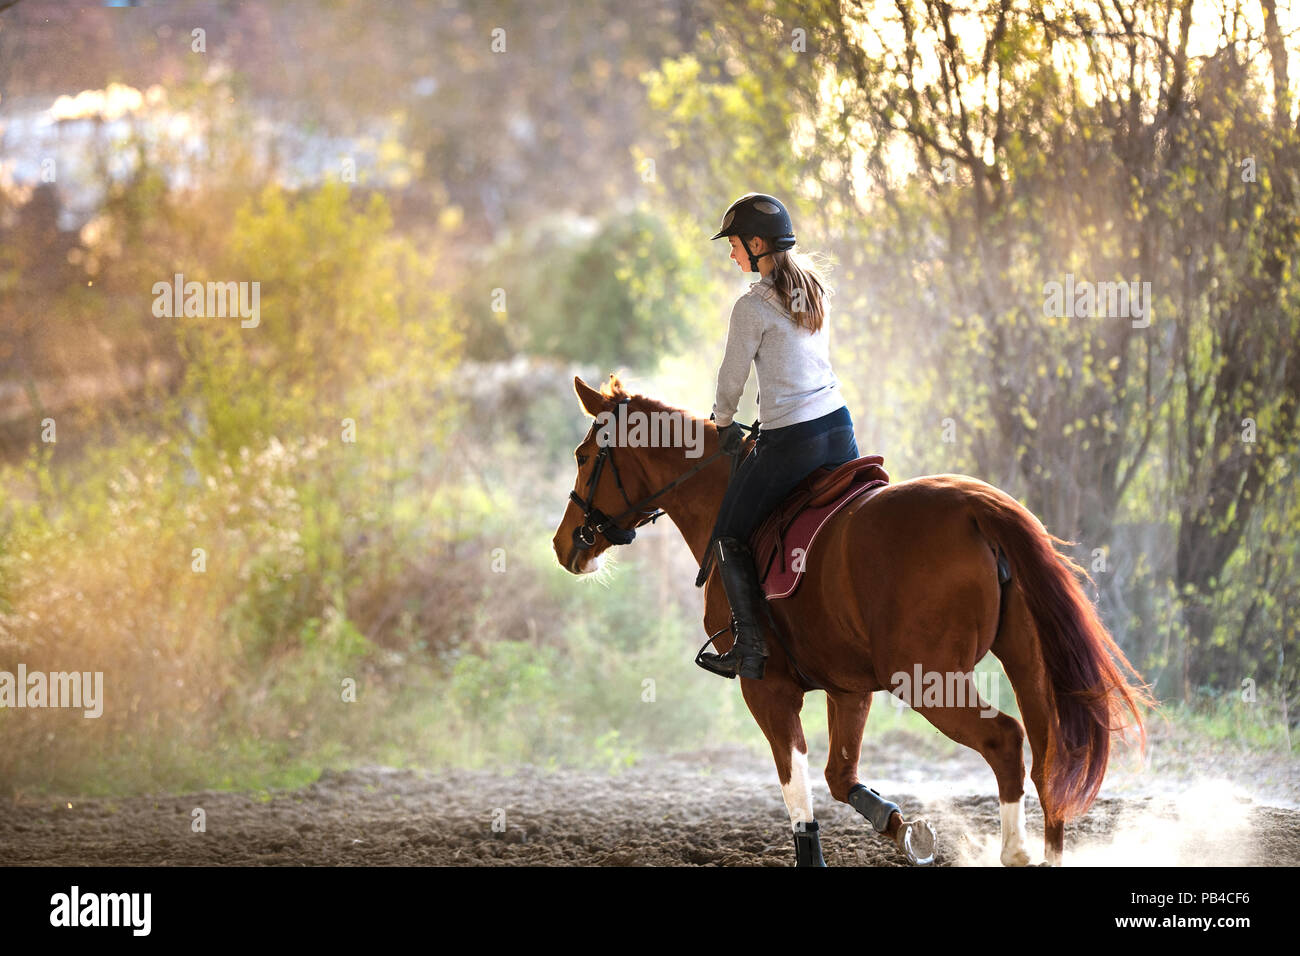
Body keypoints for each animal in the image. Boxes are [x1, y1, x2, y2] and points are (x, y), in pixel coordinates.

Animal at [552, 373, 1154, 867]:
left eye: (584, 456)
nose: (564, 547)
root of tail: (975, 506)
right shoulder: (849, 689)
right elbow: (839, 778)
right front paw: (904, 829)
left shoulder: (766, 688)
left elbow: (795, 782)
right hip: (1024, 660)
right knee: (1049, 754)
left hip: (926, 679)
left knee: (1005, 740)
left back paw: (1016, 852)